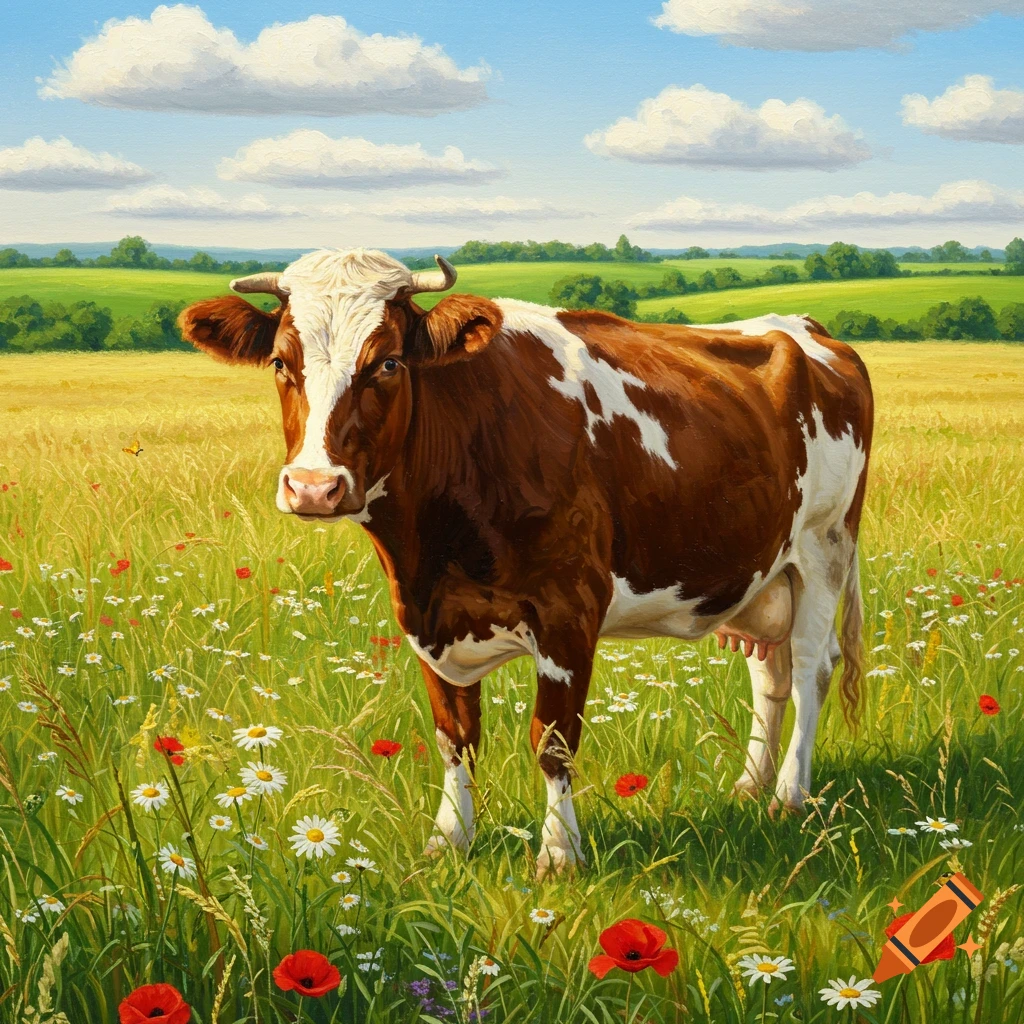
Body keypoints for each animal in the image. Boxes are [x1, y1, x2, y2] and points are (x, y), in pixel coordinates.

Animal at [179, 248, 873, 879]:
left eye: (388, 362)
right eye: (280, 362)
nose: (314, 487)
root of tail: (802, 326)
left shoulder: (569, 610)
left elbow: (552, 741)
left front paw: (559, 854)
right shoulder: (425, 617)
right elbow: (454, 736)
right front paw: (448, 842)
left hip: (823, 548)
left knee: (810, 668)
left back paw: (789, 795)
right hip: (763, 575)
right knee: (769, 675)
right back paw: (750, 787)